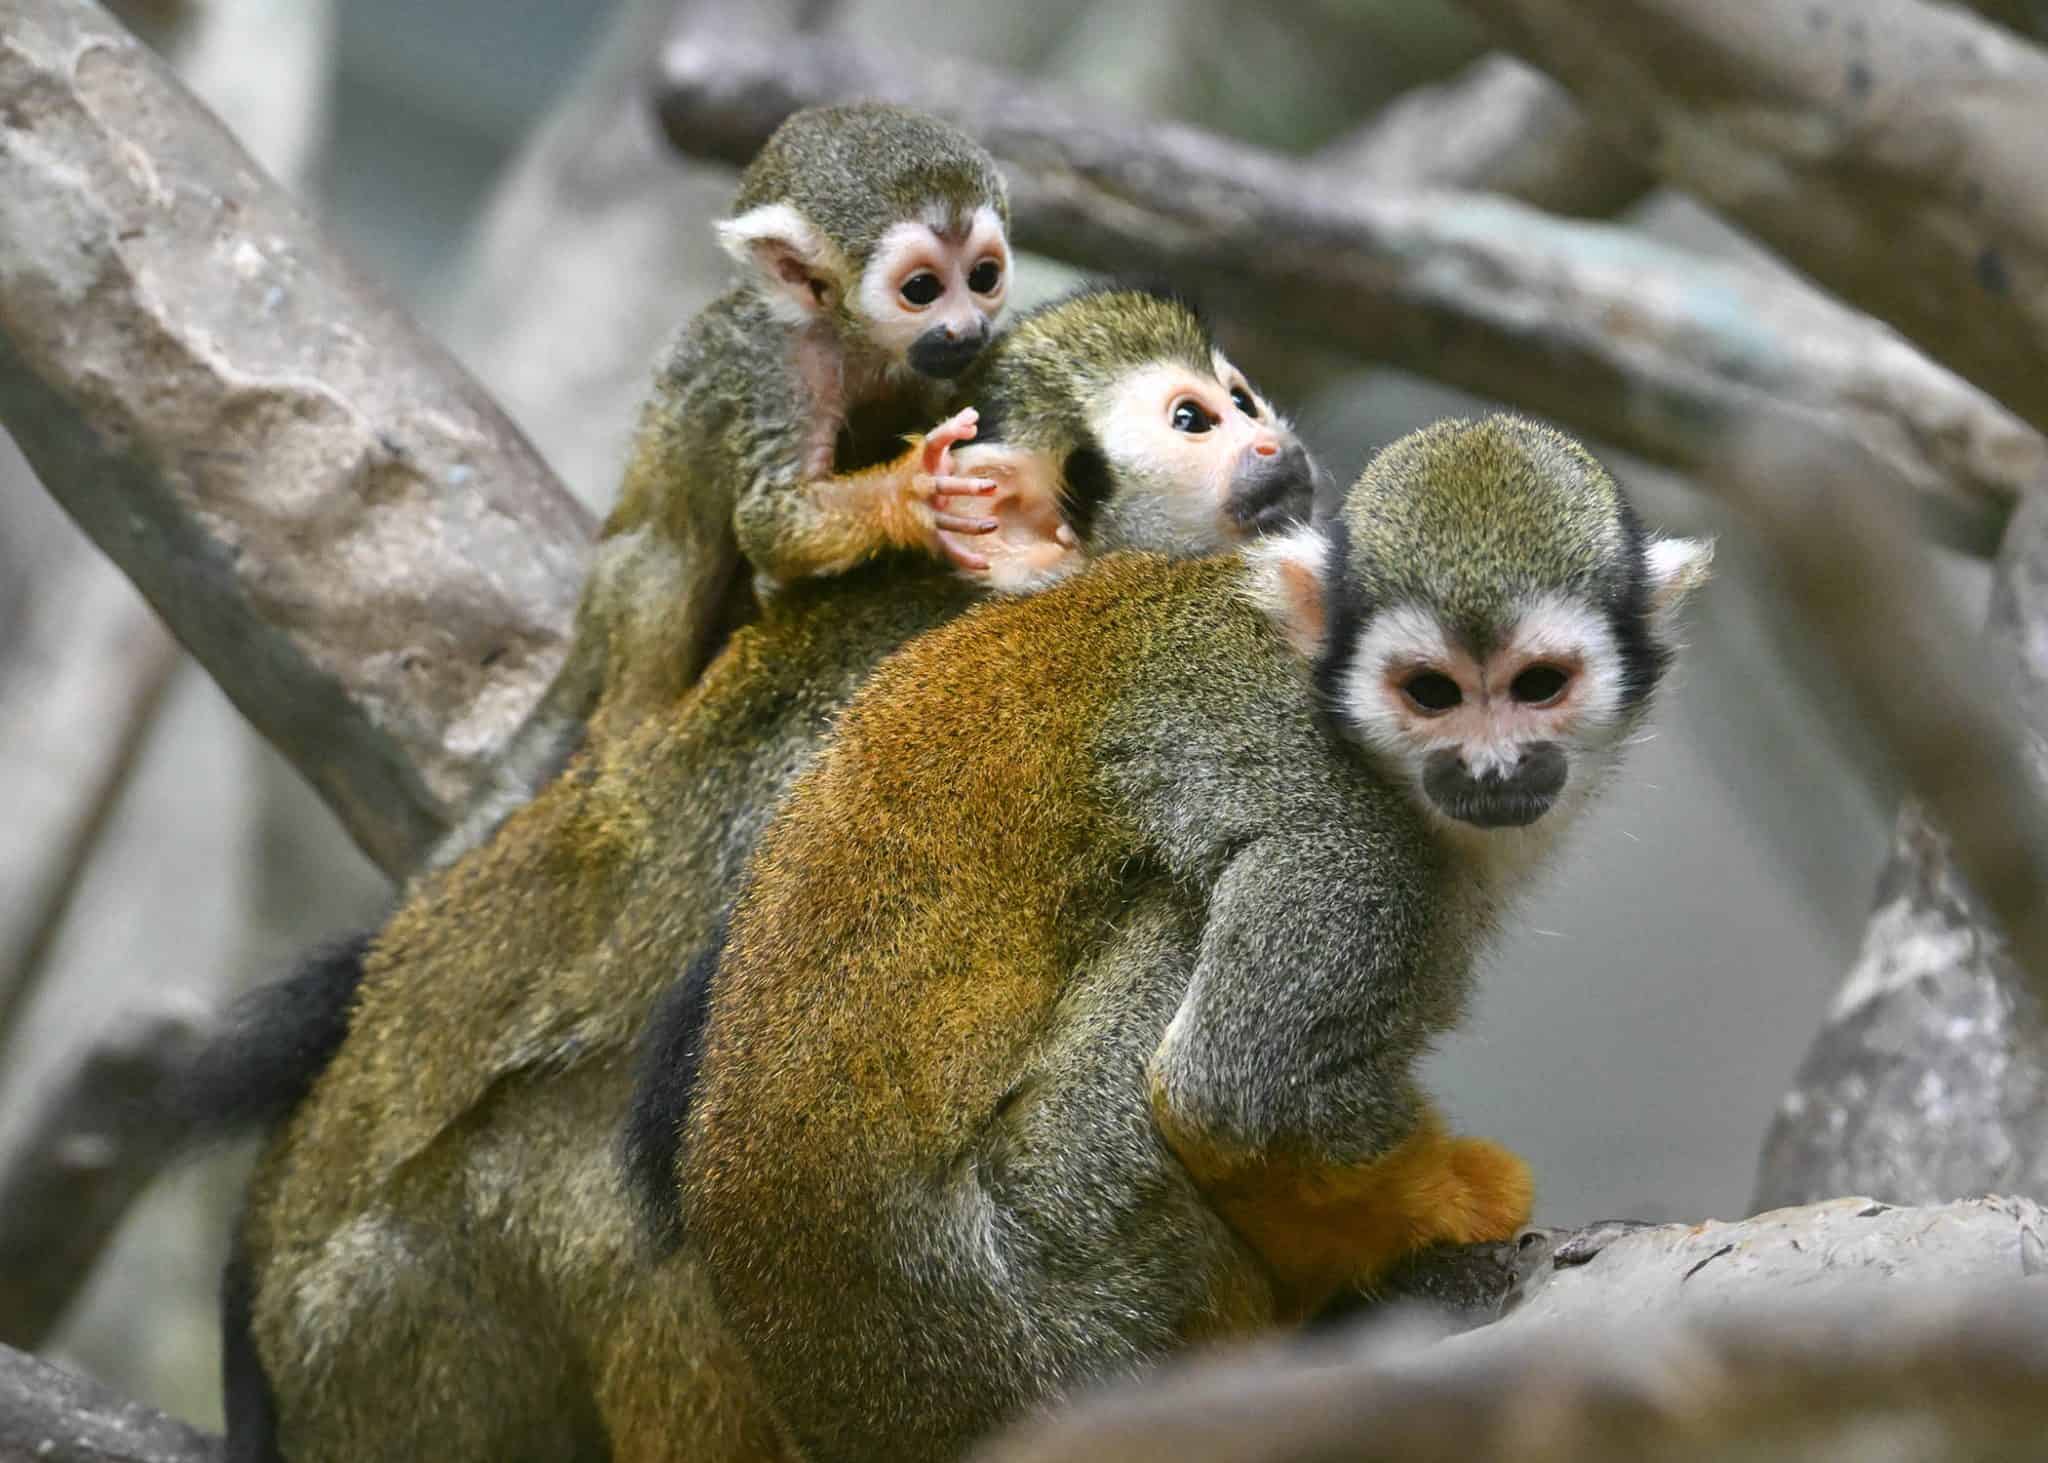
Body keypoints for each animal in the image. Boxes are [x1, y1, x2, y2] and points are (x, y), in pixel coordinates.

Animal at [428, 102, 1016, 871]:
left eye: (984, 276)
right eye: (921, 289)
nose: (966, 327)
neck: (847, 338)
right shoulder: (779, 376)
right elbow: (772, 521)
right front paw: (911, 497)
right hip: (615, 589)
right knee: (672, 554)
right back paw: (626, 737)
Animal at [654, 415, 1713, 1462]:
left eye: (1538, 685)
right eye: (1431, 692)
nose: (1491, 768)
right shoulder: (1347, 837)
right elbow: (1235, 1101)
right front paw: (1443, 1205)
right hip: (1046, 1305)